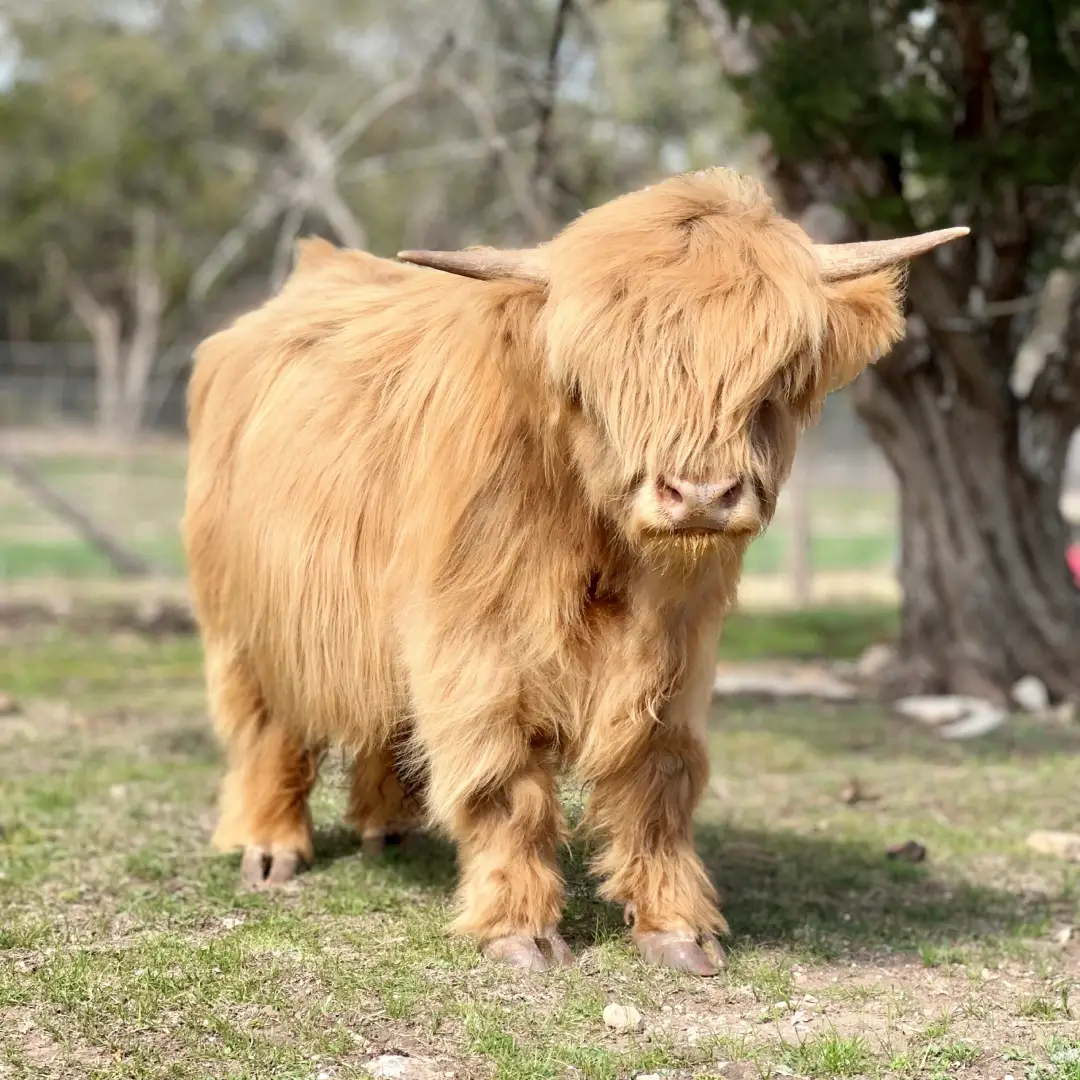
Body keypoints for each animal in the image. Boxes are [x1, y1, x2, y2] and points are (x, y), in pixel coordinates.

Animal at [182, 167, 966, 976]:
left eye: (776, 374)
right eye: (600, 377)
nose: (700, 495)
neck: (602, 542)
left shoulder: (678, 651)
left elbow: (661, 778)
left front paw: (677, 928)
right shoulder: (478, 648)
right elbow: (506, 786)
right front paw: (518, 930)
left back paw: (387, 827)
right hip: (249, 617)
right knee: (270, 726)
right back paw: (271, 848)